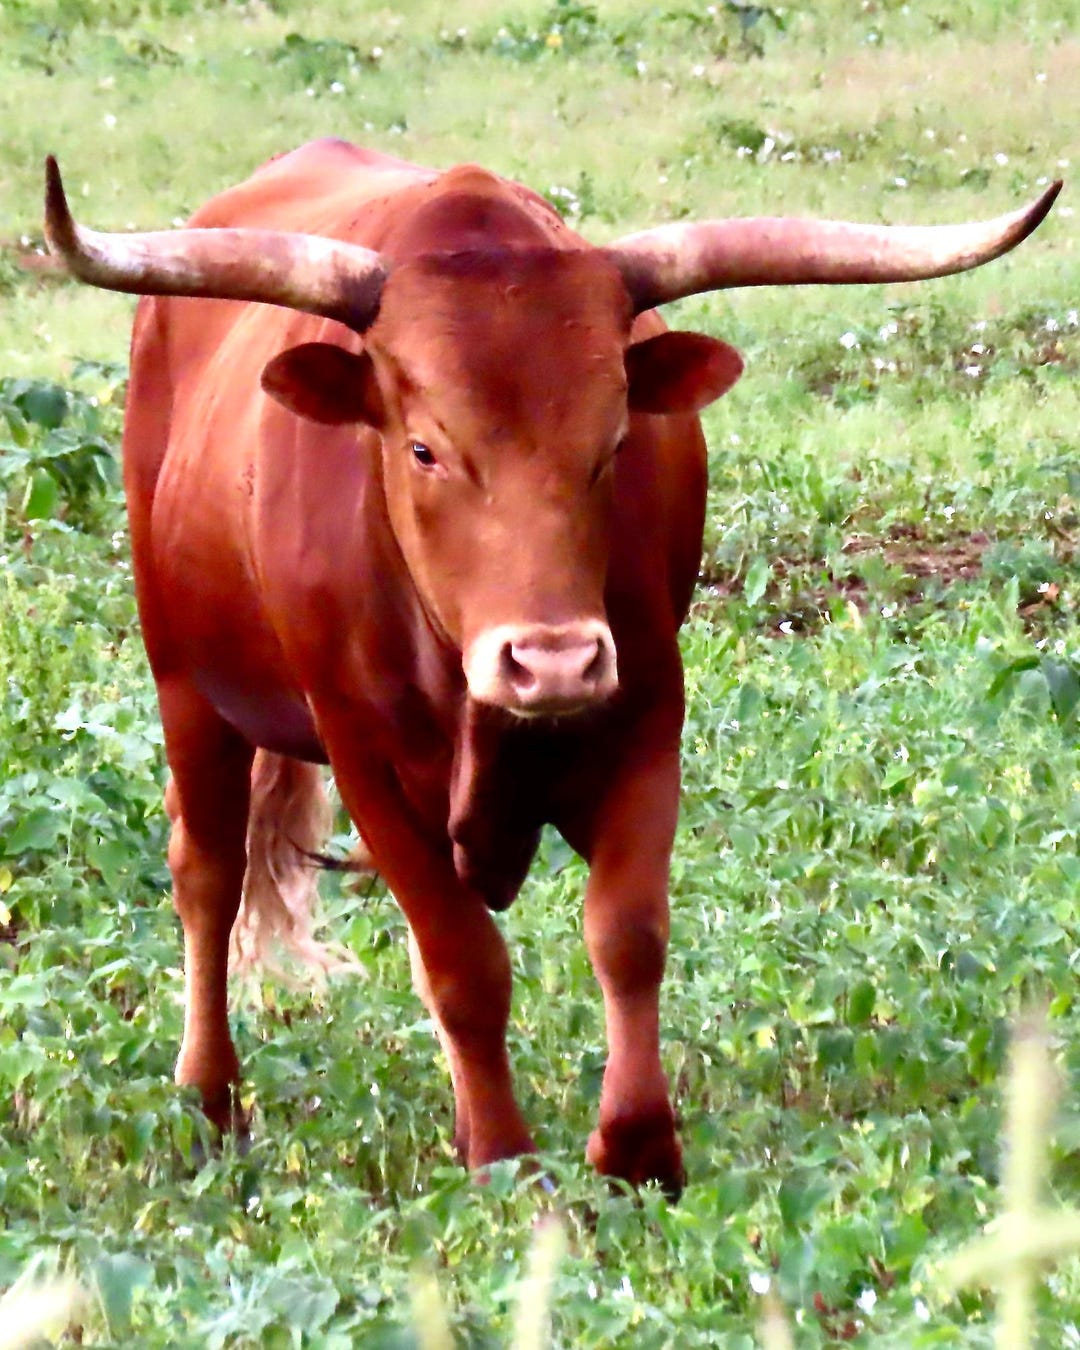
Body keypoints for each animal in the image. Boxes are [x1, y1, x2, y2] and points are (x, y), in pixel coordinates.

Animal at [44, 140, 1059, 1194]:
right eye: (423, 448)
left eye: (613, 443)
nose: (554, 662)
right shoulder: (364, 759)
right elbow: (462, 964)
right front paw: (502, 1158)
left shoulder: (648, 720)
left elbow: (628, 933)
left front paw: (638, 1149)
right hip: (185, 685)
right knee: (208, 874)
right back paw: (208, 1101)